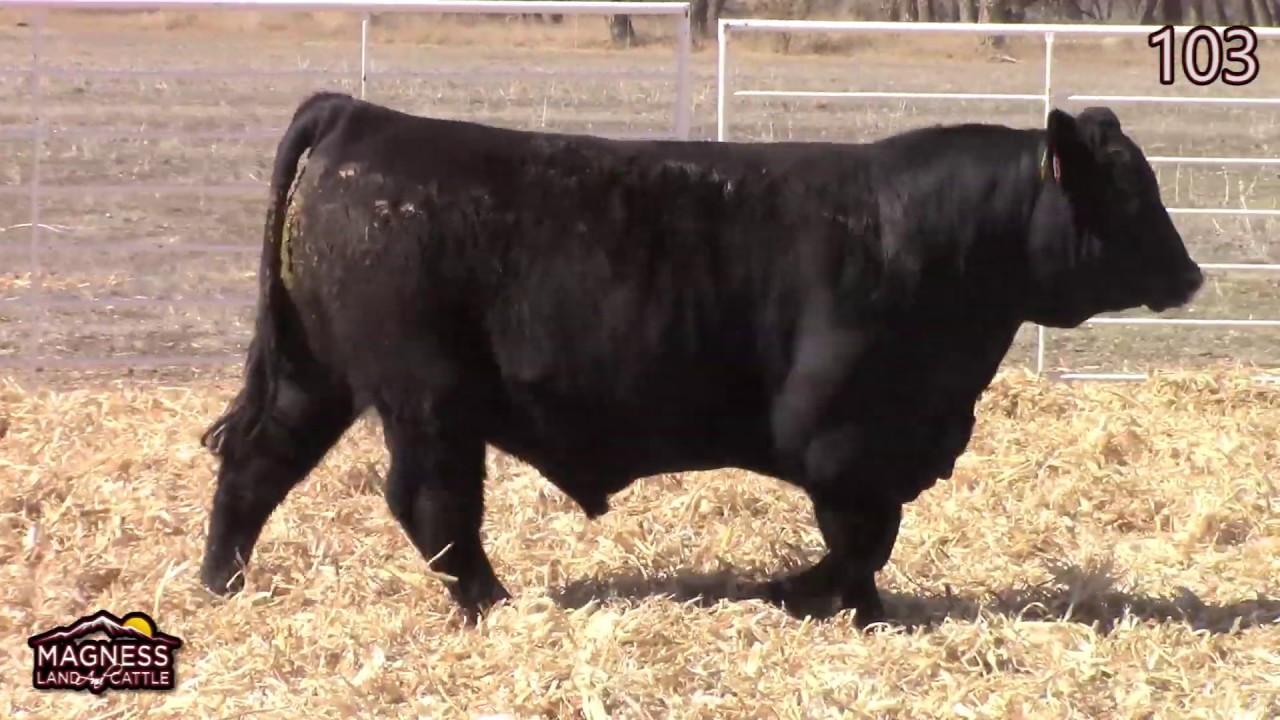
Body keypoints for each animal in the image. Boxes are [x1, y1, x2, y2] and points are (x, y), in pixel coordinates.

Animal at [198, 91, 1203, 629]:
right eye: (1128, 188)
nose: (1191, 272)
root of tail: (363, 118)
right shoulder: (840, 437)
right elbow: (861, 535)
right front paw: (801, 594)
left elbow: (869, 541)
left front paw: (851, 606)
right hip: (426, 399)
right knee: (432, 504)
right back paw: (494, 602)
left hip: (318, 378)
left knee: (256, 463)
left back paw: (222, 584)